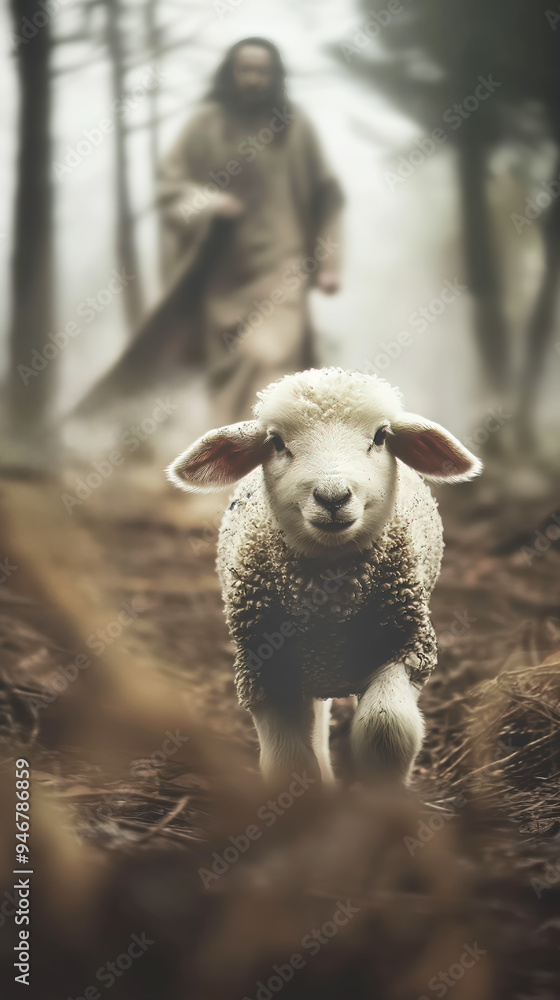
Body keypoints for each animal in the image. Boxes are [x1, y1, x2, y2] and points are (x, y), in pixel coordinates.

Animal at [167, 368, 482, 786]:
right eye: (276, 441)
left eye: (381, 436)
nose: (333, 497)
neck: (330, 606)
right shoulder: (264, 671)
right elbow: (289, 764)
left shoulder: (408, 646)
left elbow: (386, 730)